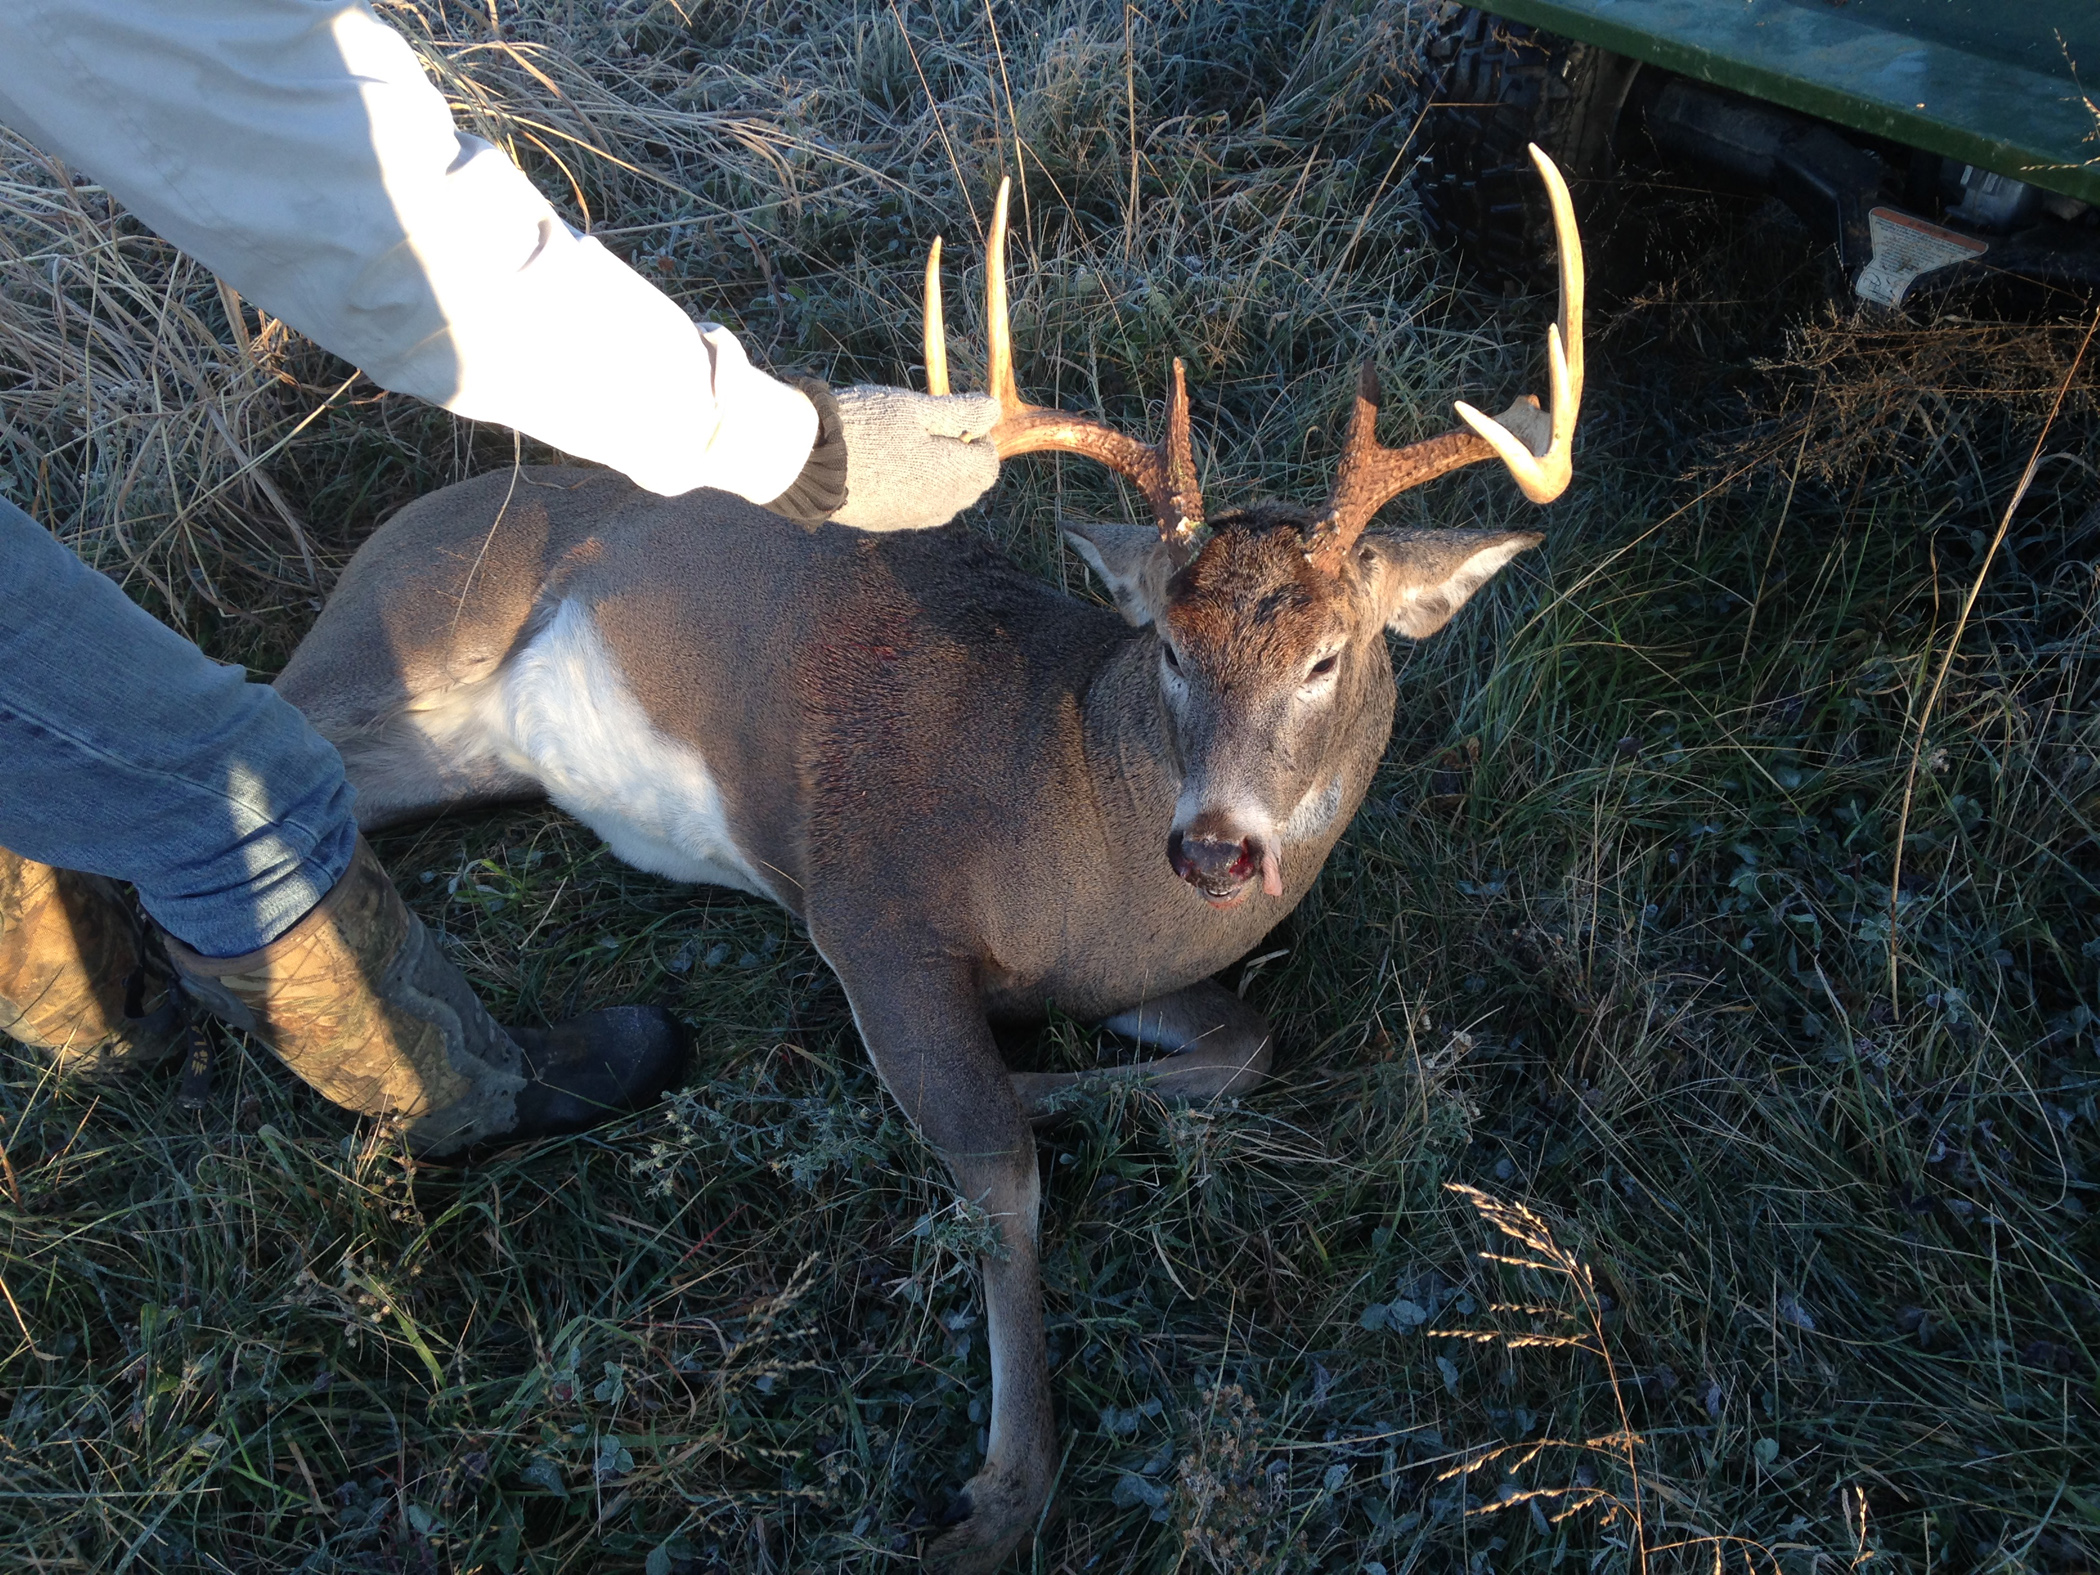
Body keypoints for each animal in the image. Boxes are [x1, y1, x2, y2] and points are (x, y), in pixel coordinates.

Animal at [272, 146, 1583, 1571]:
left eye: (1327, 658)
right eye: (1169, 646)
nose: (1216, 849)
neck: (1070, 810)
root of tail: (406, 520)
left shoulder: (1117, 972)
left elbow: (1243, 1045)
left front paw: (1057, 1087)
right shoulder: (872, 908)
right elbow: (998, 1168)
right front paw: (1000, 1493)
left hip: (456, 752)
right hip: (398, 642)